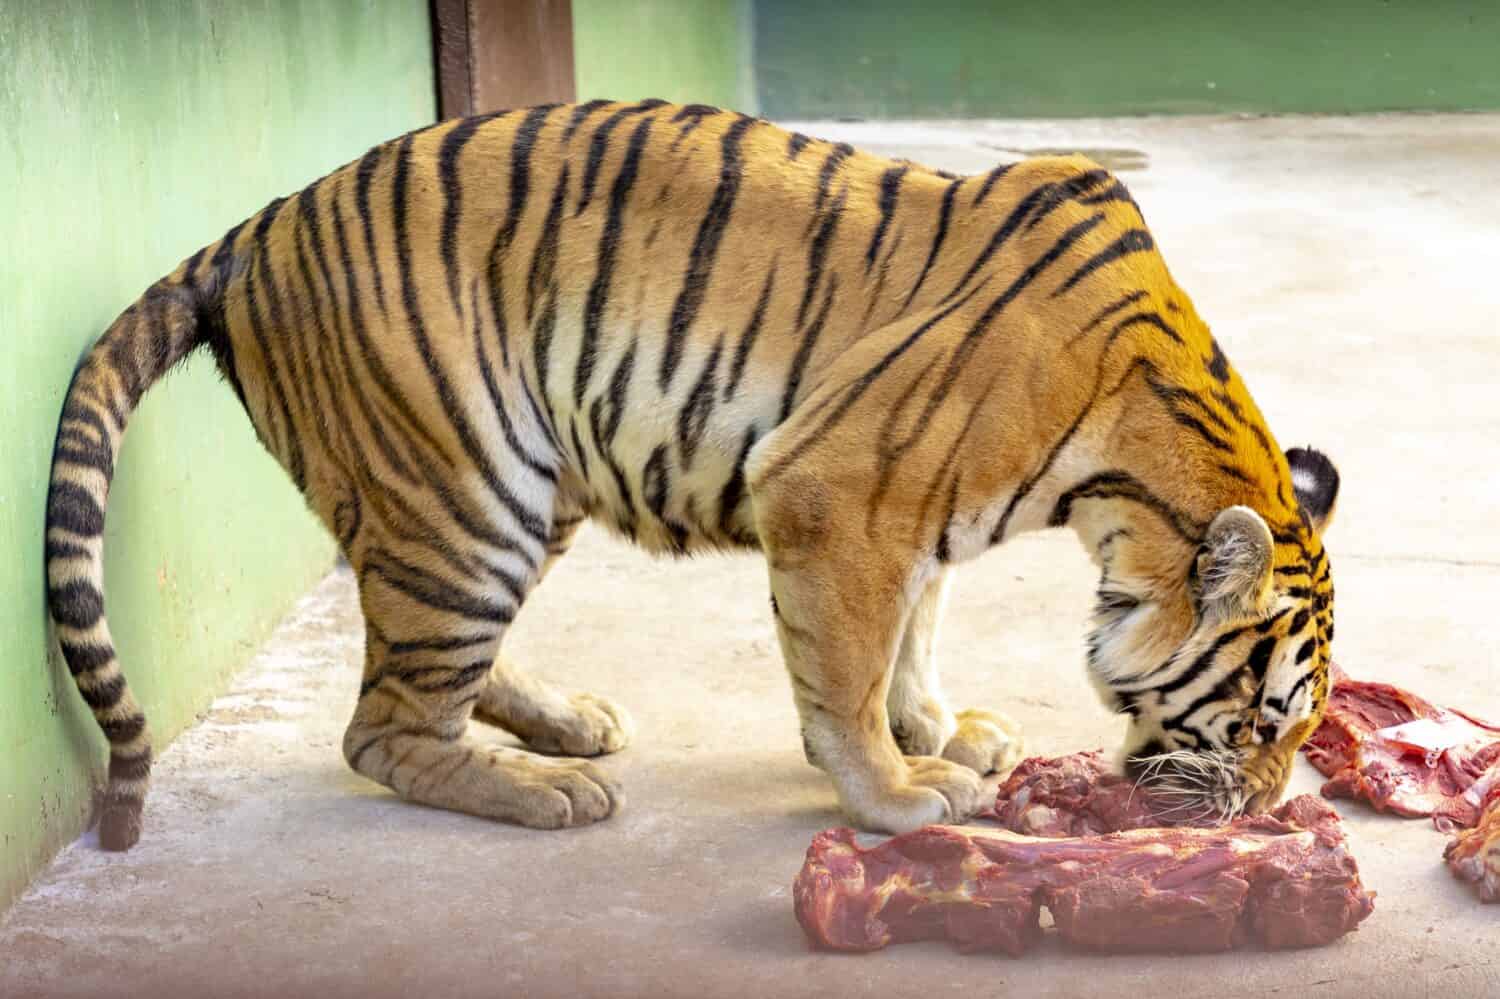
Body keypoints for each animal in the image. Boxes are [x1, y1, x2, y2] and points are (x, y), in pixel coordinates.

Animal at [45, 99, 1339, 851]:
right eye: (1254, 721)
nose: (1265, 811)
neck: (1125, 480)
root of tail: (252, 232)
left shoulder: (918, 516)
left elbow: (915, 627)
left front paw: (939, 728)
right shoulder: (838, 491)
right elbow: (847, 672)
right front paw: (898, 792)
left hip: (511, 489)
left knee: (414, 664)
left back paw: (568, 723)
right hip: (467, 494)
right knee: (382, 725)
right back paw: (542, 792)